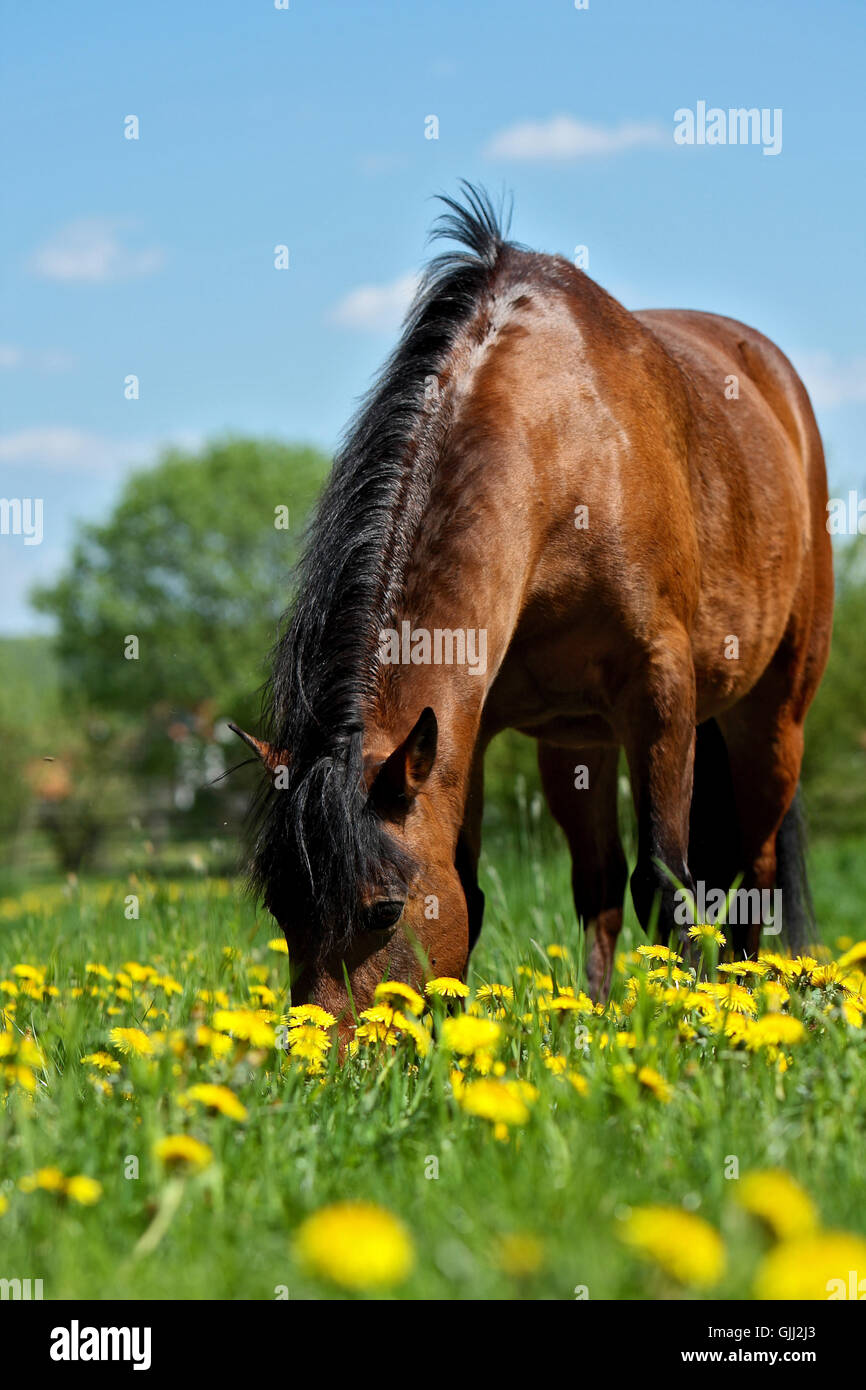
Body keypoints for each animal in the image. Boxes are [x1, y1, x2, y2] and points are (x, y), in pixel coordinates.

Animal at [232, 184, 834, 1030]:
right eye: (283, 912)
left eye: (383, 911)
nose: (321, 1052)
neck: (563, 449)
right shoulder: (468, 732)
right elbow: (475, 890)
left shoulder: (662, 694)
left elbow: (668, 882)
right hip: (577, 745)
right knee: (601, 886)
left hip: (774, 717)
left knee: (757, 869)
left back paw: (747, 1000)